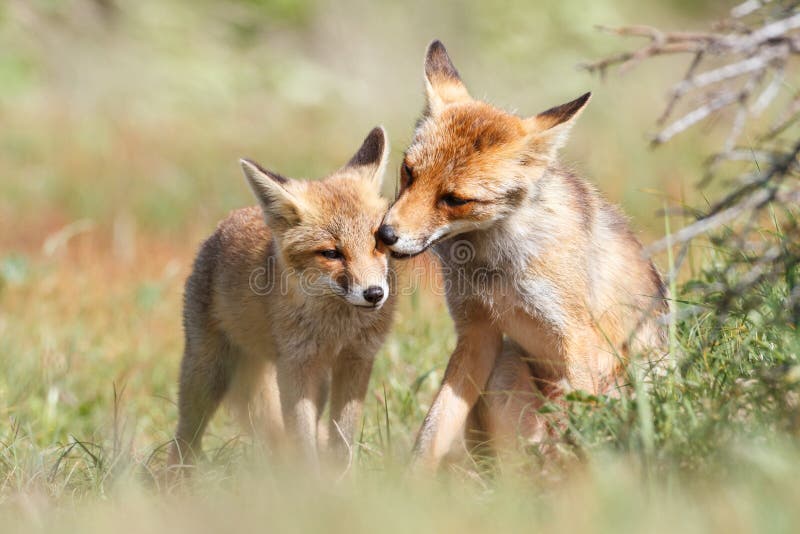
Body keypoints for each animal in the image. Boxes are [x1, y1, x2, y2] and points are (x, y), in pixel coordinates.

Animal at [169, 127, 395, 474]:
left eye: (378, 242)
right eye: (331, 253)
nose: (374, 294)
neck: (337, 328)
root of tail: (227, 221)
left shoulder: (356, 360)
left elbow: (340, 441)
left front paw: (341, 479)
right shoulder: (295, 365)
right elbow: (302, 442)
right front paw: (311, 483)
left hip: (318, 381)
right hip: (208, 374)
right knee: (184, 435)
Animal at [378, 41, 667, 470]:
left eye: (454, 199)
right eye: (409, 172)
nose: (384, 235)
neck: (495, 267)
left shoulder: (576, 337)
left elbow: (584, 426)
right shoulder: (477, 333)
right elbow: (434, 427)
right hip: (506, 364)